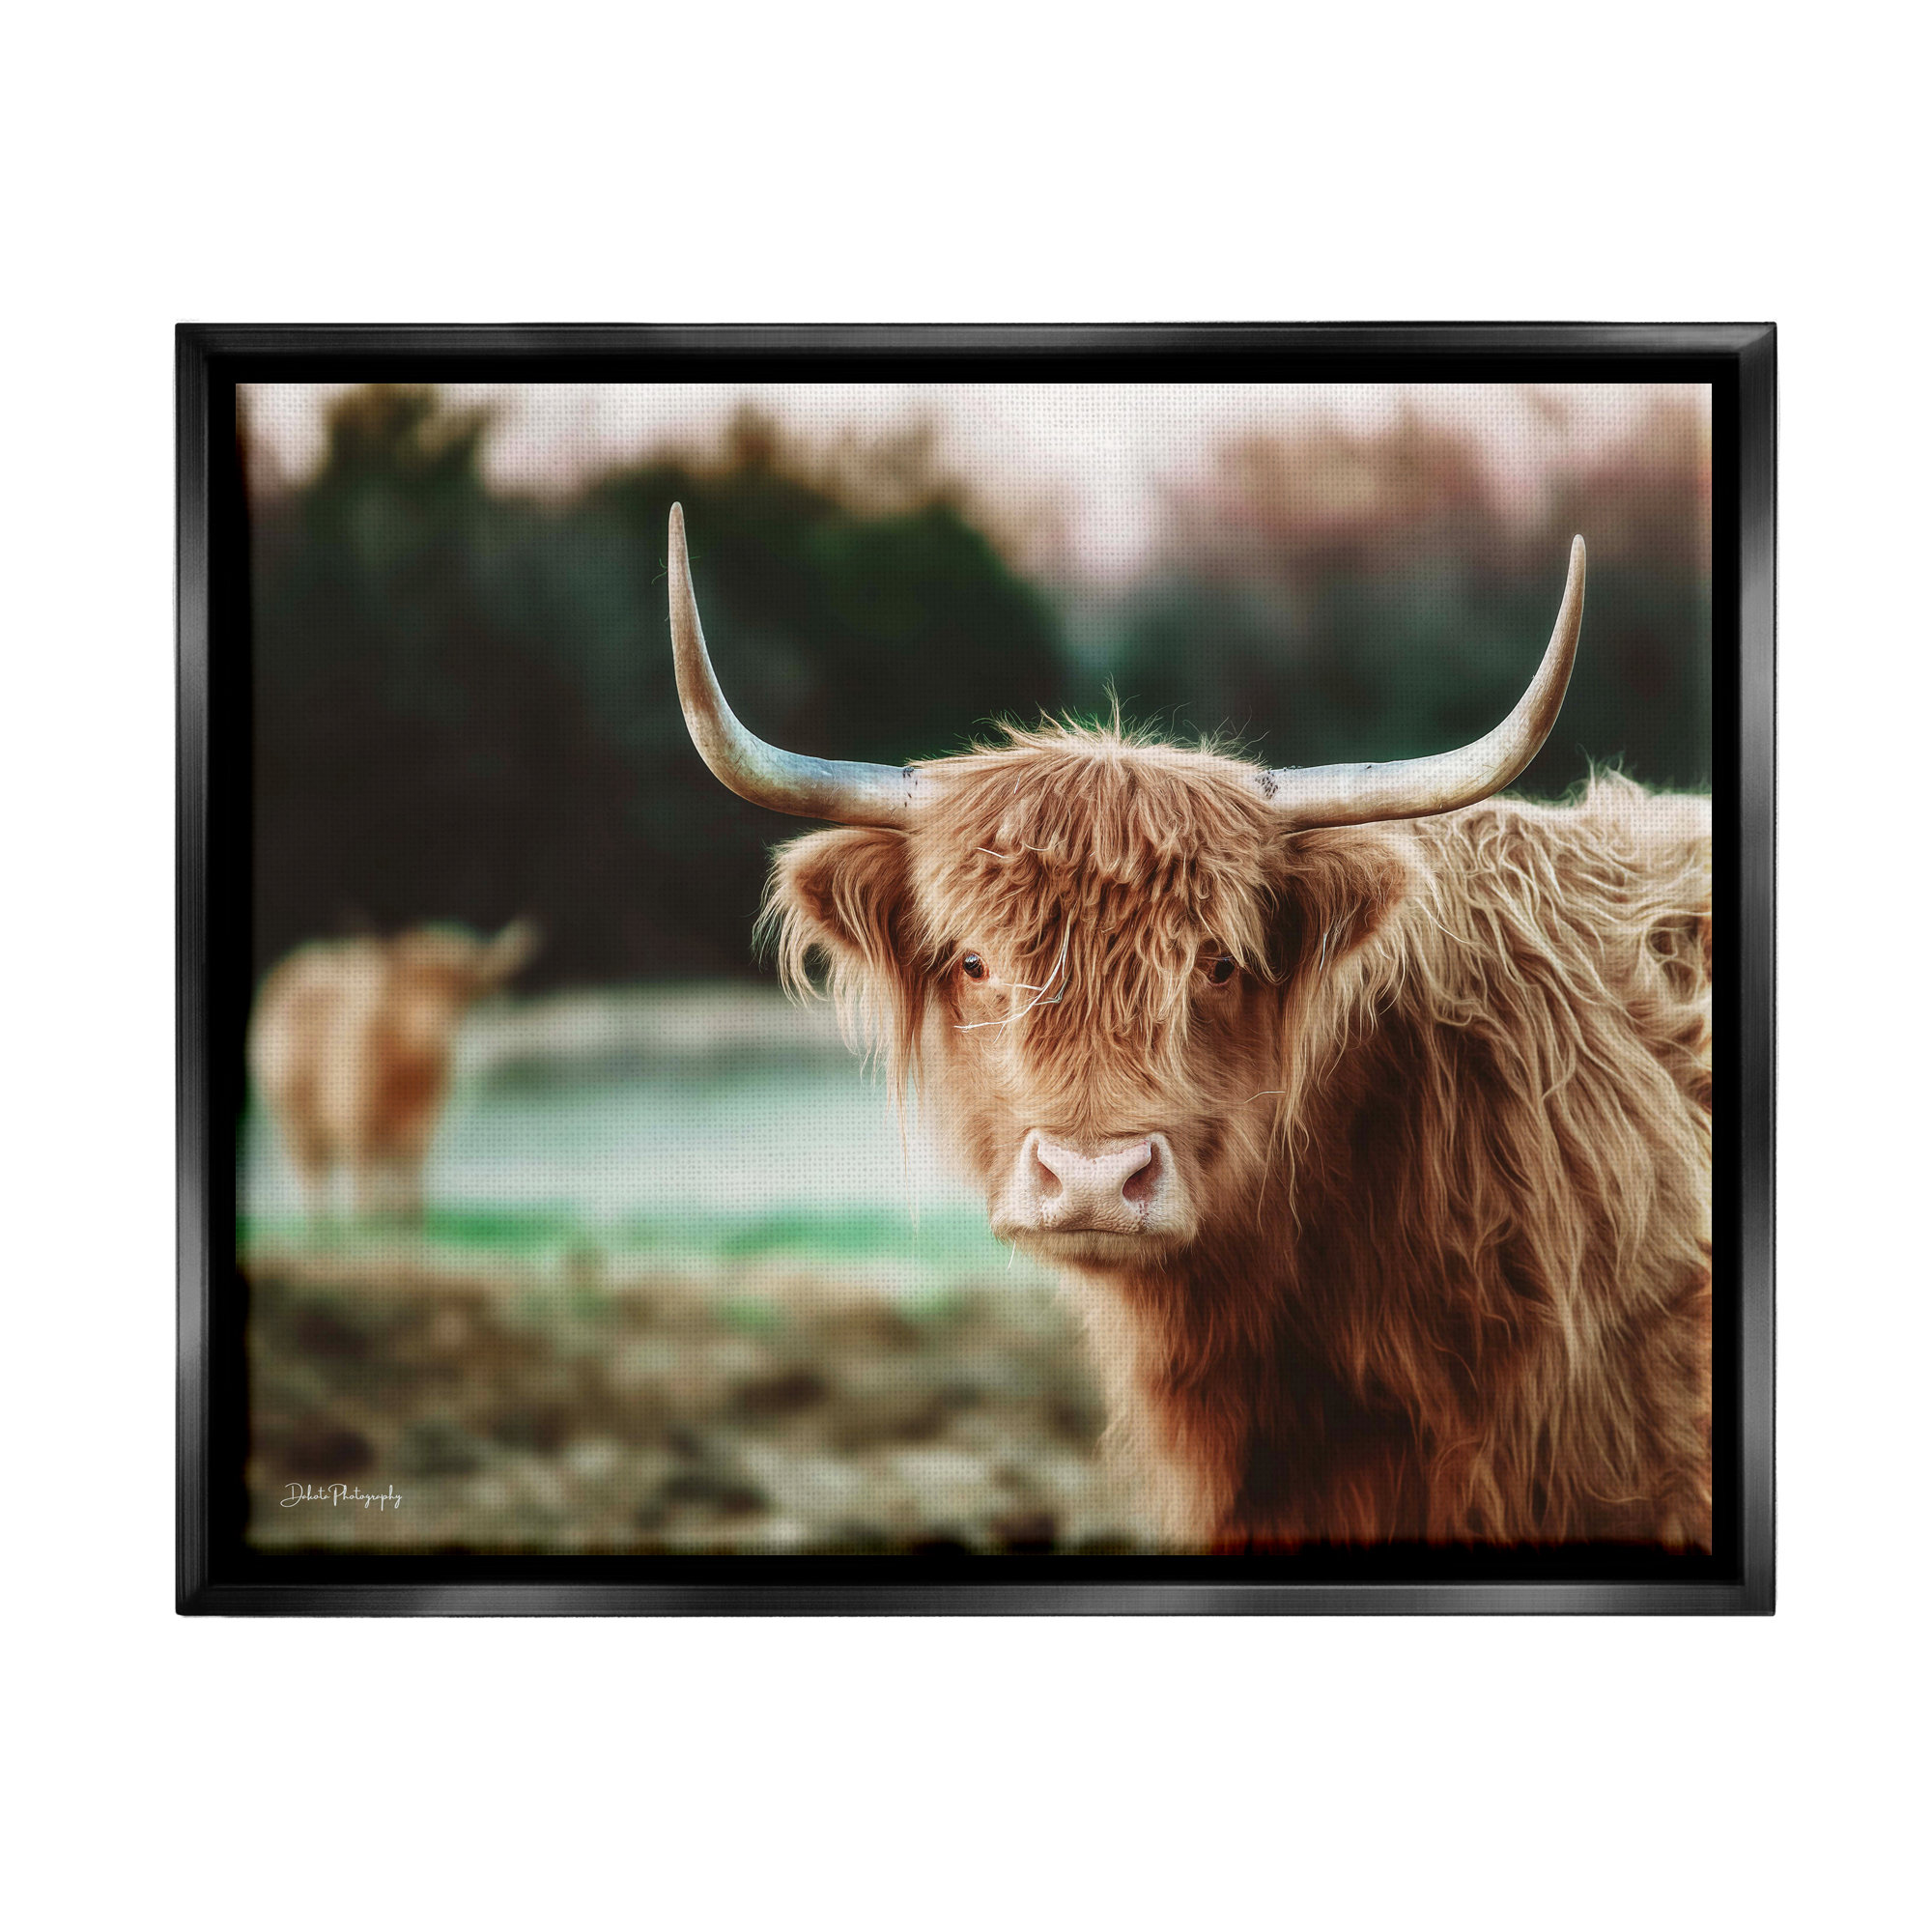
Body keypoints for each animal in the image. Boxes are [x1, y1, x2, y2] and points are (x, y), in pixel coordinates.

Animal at [248, 921, 539, 1220]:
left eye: (460, 991)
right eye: (410, 988)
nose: (434, 1028)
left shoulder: (418, 1132)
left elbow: (409, 1193)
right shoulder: (356, 1127)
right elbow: (365, 1194)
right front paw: (367, 1219)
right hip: (294, 1123)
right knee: (314, 1180)